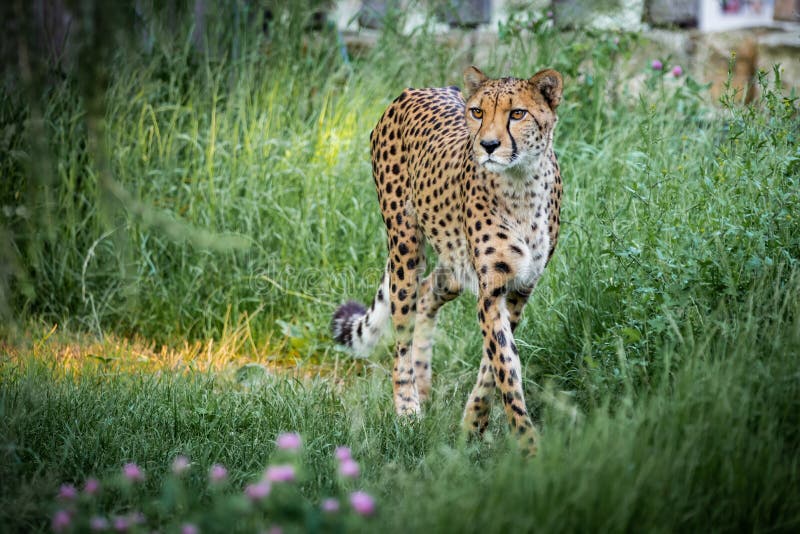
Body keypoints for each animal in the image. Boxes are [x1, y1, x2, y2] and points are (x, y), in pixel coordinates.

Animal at [332, 66, 564, 455]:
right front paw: (529, 446)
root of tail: (418, 89)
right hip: (405, 248)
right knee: (402, 334)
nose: (488, 146)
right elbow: (505, 369)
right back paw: (408, 408)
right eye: (478, 112)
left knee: (428, 294)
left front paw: (474, 425)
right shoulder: (492, 290)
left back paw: (424, 385)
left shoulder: (519, 290)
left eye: (517, 114)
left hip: (453, 265)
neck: (521, 183)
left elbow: (493, 366)